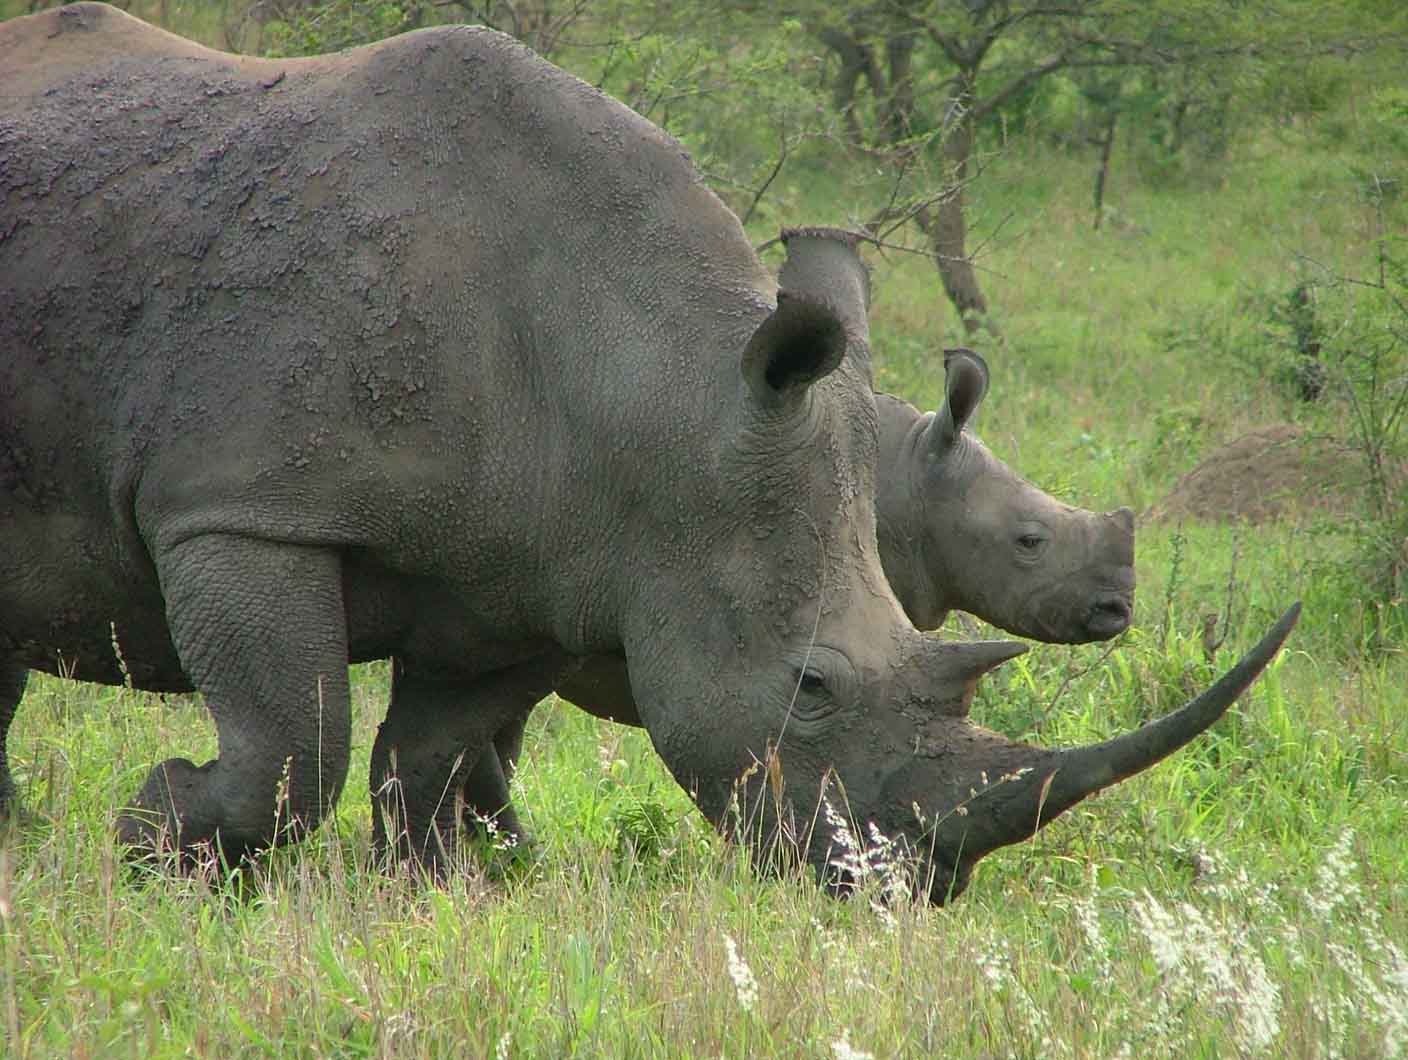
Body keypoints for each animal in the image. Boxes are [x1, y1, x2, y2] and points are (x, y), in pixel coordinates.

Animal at [0, 4, 1297, 902]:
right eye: (810, 688)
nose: (914, 885)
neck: (652, 388)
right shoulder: (239, 501)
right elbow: (293, 740)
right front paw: (152, 848)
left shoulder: (536, 563)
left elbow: (432, 760)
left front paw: (450, 895)